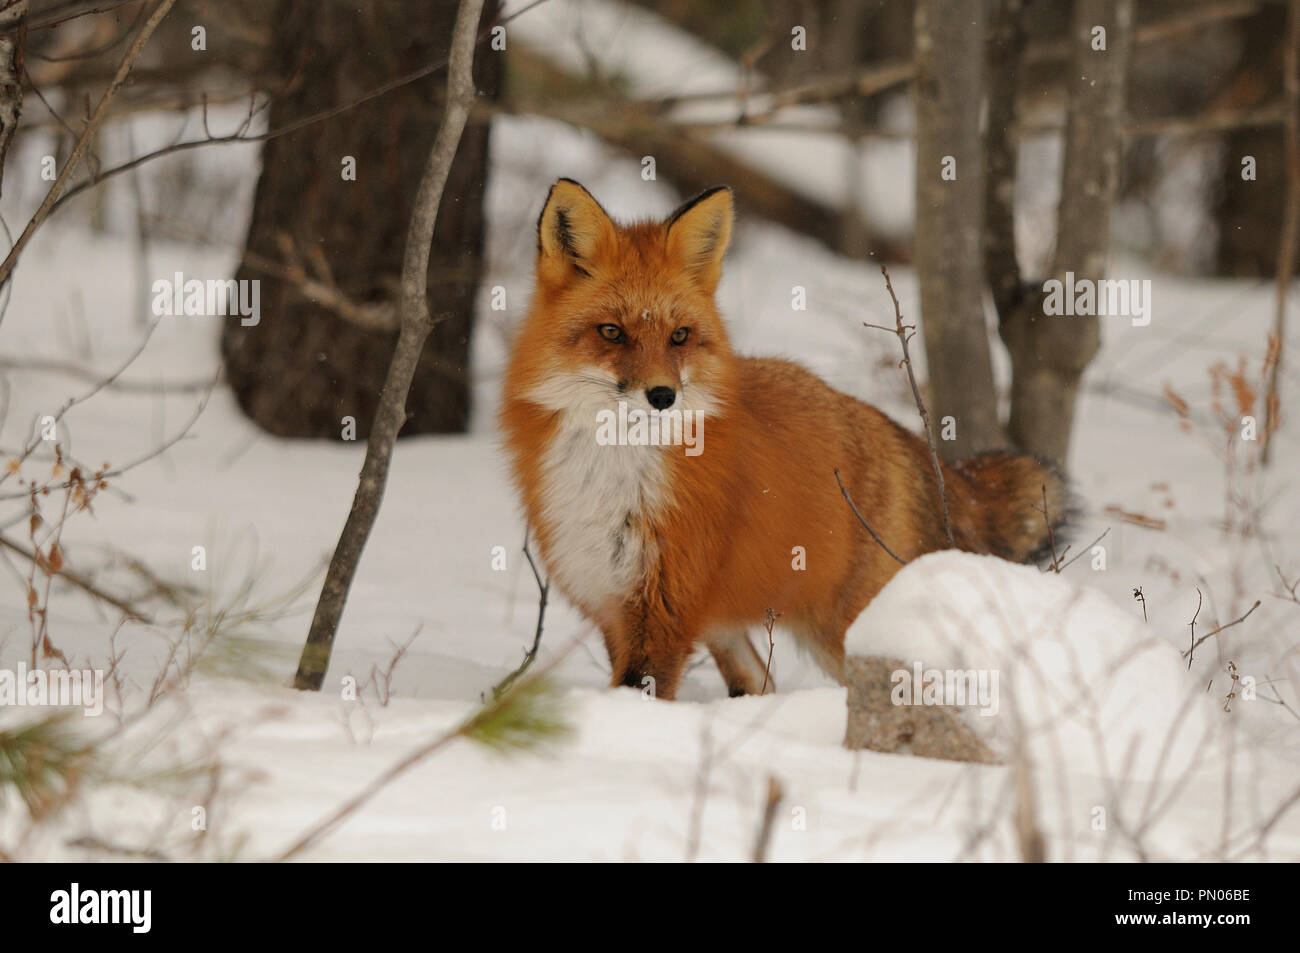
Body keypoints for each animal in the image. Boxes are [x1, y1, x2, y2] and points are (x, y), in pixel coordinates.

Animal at [500, 179, 1068, 700]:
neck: (613, 472)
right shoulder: (612, 601)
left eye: (679, 336)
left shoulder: (662, 611)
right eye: (612, 332)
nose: (662, 396)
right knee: (761, 680)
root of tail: (888, 426)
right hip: (732, 627)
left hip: (843, 627)